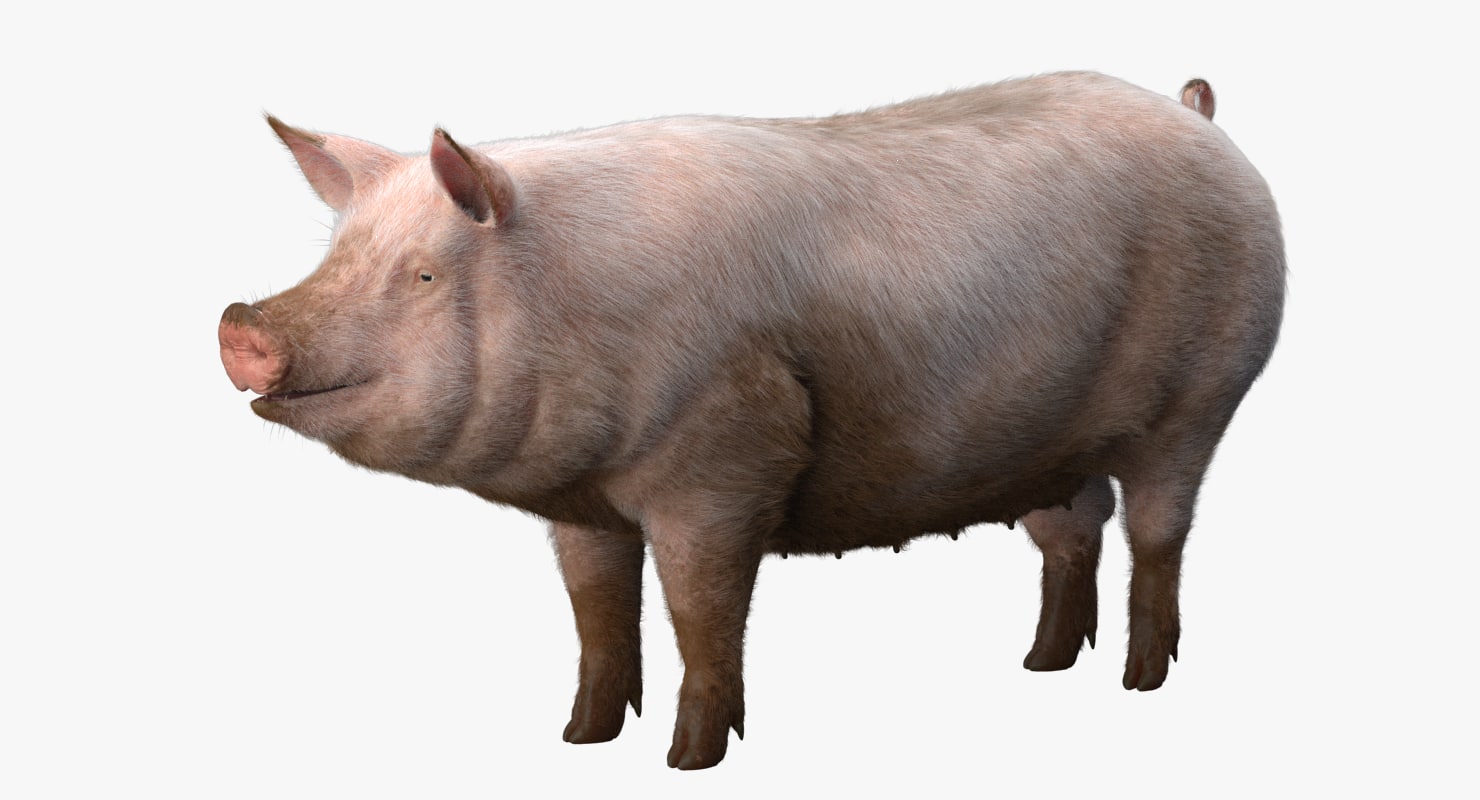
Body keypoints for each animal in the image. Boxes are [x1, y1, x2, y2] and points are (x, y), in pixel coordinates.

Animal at [220, 71, 1284, 769]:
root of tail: (1197, 116)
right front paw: (578, 738)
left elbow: (703, 613)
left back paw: (1139, 681)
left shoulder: (726, 459)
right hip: (1051, 448)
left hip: (1202, 396)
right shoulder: (582, 504)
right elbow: (596, 612)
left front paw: (688, 762)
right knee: (1074, 531)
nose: (240, 324)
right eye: (337, 251)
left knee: (1160, 531)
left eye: (425, 276)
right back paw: (1041, 665)